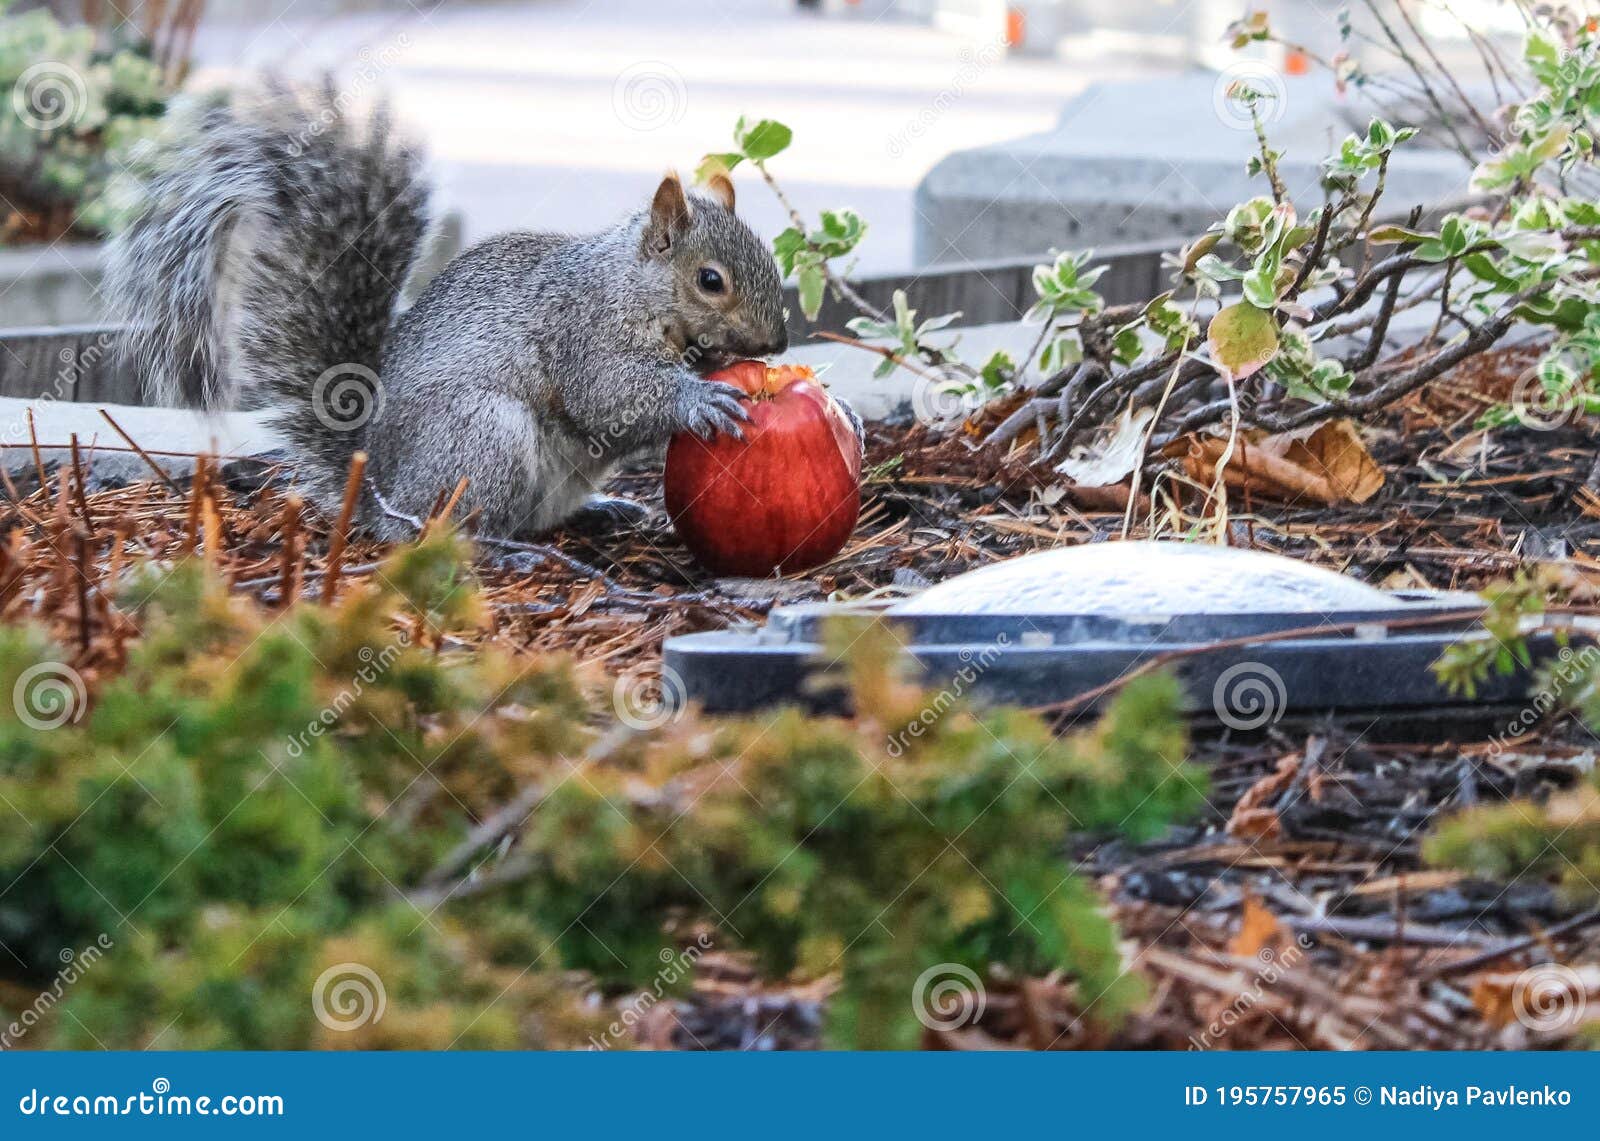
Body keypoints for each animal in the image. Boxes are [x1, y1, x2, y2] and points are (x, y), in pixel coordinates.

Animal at [107, 81, 791, 541]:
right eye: (710, 281)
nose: (779, 345)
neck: (631, 283)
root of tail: (381, 496)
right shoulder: (583, 328)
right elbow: (610, 392)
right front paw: (698, 396)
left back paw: (604, 509)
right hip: (484, 436)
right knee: (460, 527)